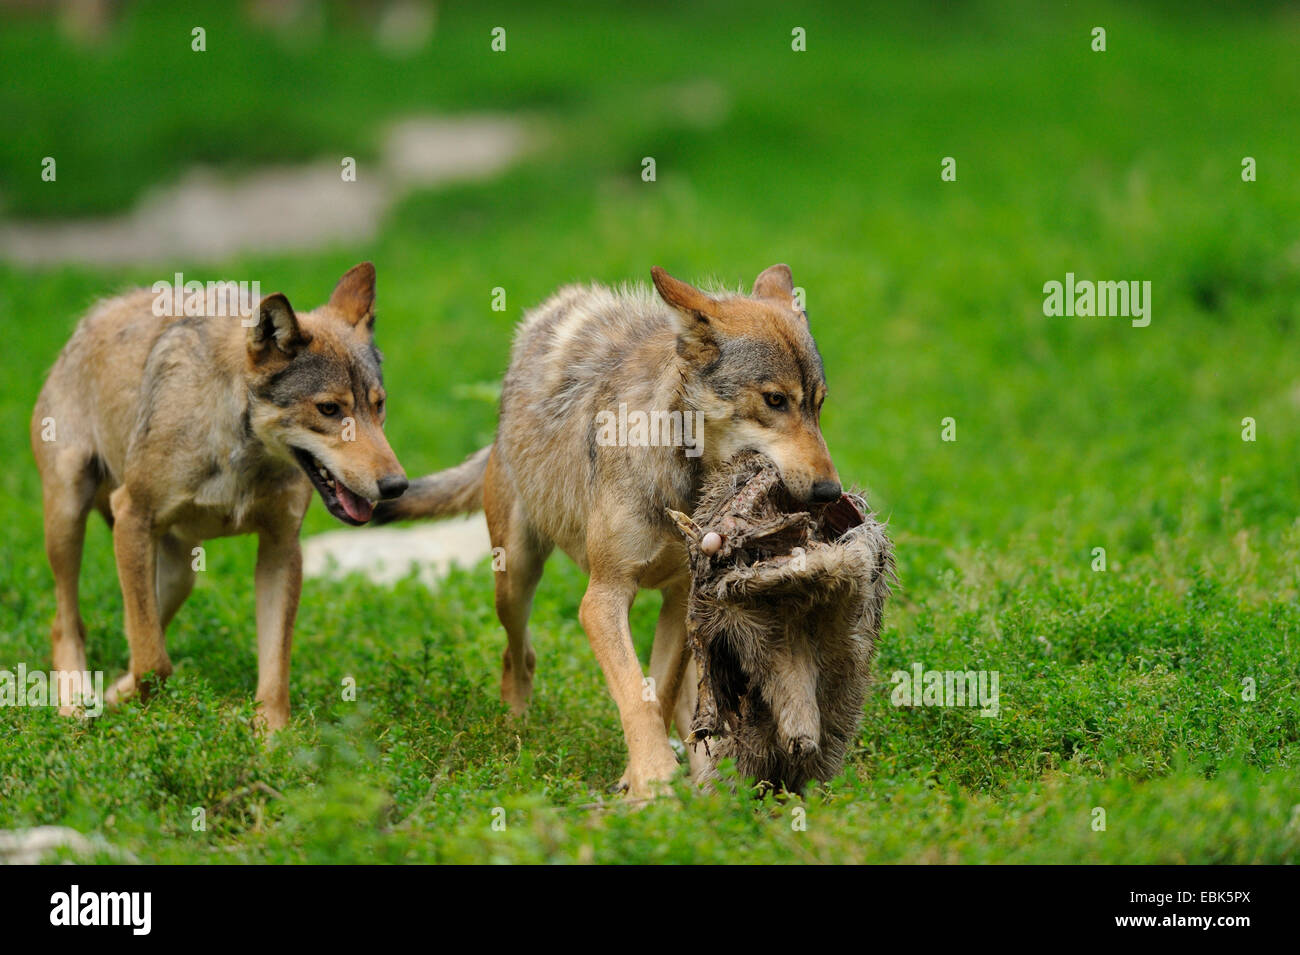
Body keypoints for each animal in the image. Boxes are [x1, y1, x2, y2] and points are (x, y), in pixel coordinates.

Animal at [31, 263, 407, 729]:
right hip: (70, 517)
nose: (396, 486)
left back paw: (106, 695)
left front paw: (272, 739)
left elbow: (273, 673)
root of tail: (94, 315)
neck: (241, 453)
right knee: (67, 623)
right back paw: (77, 702)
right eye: (329, 409)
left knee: (135, 628)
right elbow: (155, 663)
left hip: (177, 572)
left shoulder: (281, 549)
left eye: (378, 405)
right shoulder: (132, 514)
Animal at [375, 264, 839, 799]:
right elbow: (636, 695)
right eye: (775, 400)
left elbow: (656, 693)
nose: (831, 491)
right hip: (514, 579)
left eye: (819, 406)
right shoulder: (603, 598)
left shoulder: (682, 598)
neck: (682, 481)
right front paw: (653, 782)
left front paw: (644, 777)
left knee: (687, 700)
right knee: (519, 655)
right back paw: (516, 732)